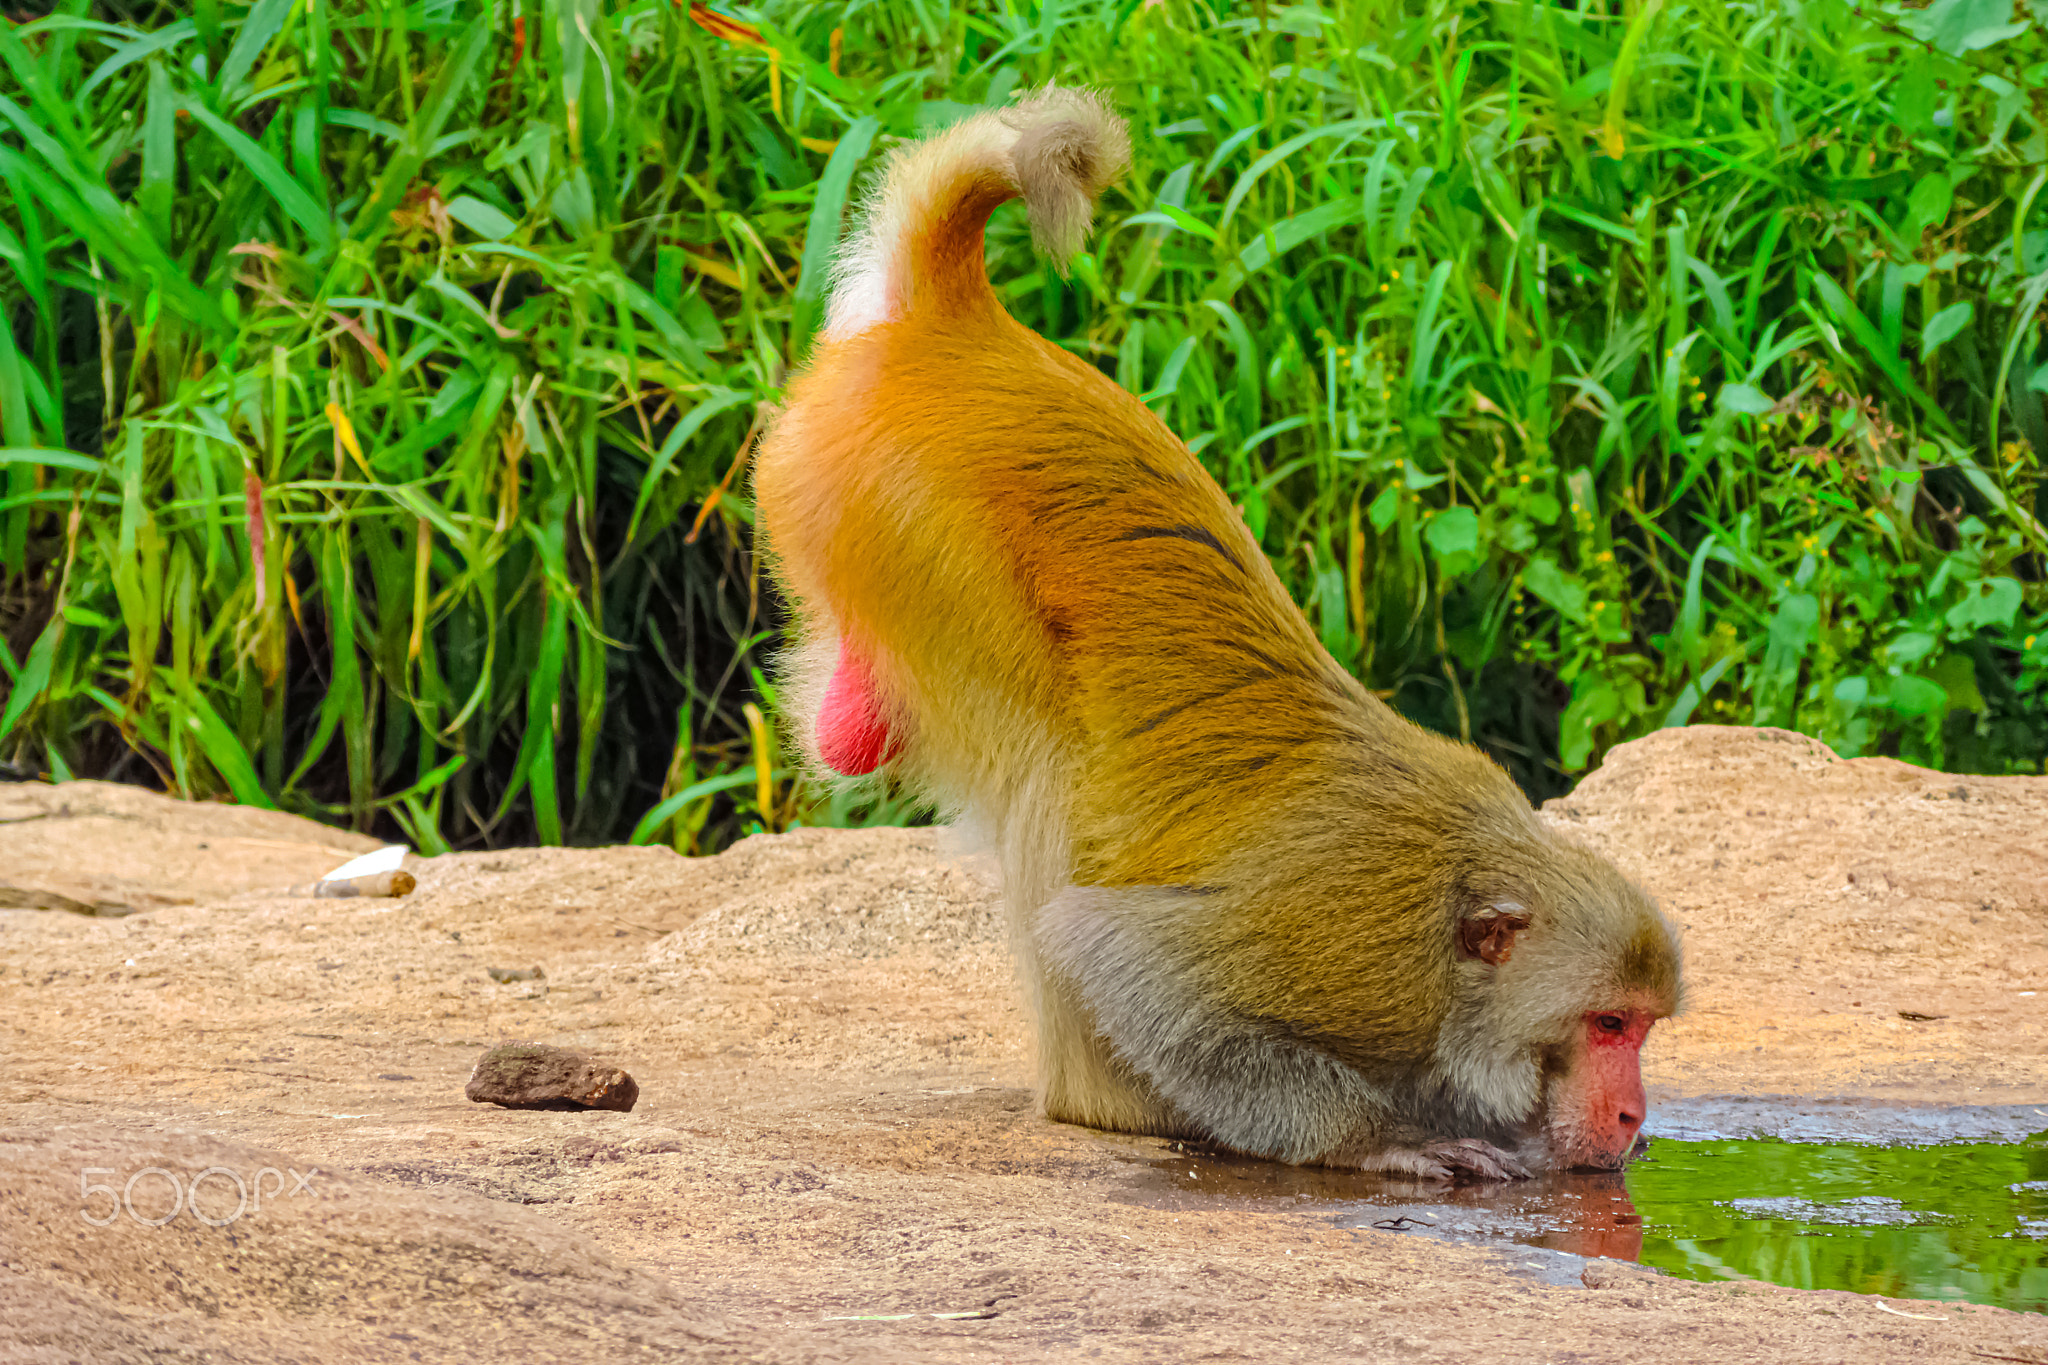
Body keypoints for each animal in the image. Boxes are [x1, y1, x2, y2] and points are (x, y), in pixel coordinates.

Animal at [751, 88, 1682, 1181]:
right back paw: (1104, 1103)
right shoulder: (1346, 946)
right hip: (907, 527)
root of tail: (959, 324)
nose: (1632, 1117)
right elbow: (1116, 949)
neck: (1452, 945)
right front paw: (1378, 1141)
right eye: (1608, 1025)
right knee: (1047, 781)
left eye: (1644, 1026)